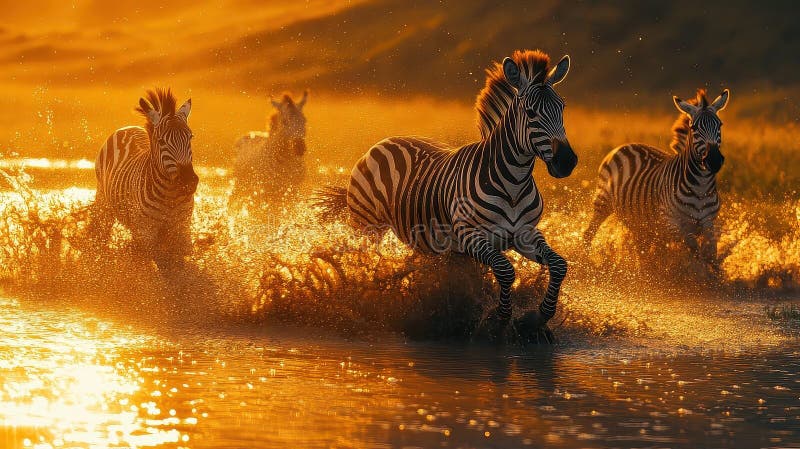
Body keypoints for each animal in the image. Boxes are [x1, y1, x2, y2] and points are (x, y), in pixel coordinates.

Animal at [88, 88, 198, 269]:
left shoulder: (180, 229)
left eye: (190, 137)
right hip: (104, 204)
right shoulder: (147, 233)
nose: (188, 182)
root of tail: (127, 128)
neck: (170, 195)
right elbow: (157, 268)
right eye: (161, 141)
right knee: (101, 234)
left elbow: (178, 268)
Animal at [316, 50, 578, 340]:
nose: (567, 162)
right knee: (358, 261)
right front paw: (498, 320)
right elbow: (506, 271)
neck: (514, 184)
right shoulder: (469, 234)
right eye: (531, 113)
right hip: (366, 226)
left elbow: (559, 265)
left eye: (562, 108)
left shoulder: (525, 234)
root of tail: (382, 142)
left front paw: (536, 318)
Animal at [583, 88, 730, 271]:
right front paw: (698, 272)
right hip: (602, 202)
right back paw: (585, 263)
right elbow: (694, 249)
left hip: (638, 222)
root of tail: (623, 146)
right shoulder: (671, 223)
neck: (700, 187)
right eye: (694, 128)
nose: (714, 160)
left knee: (641, 249)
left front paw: (716, 275)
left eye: (720, 125)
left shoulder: (709, 222)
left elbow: (711, 255)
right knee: (588, 233)